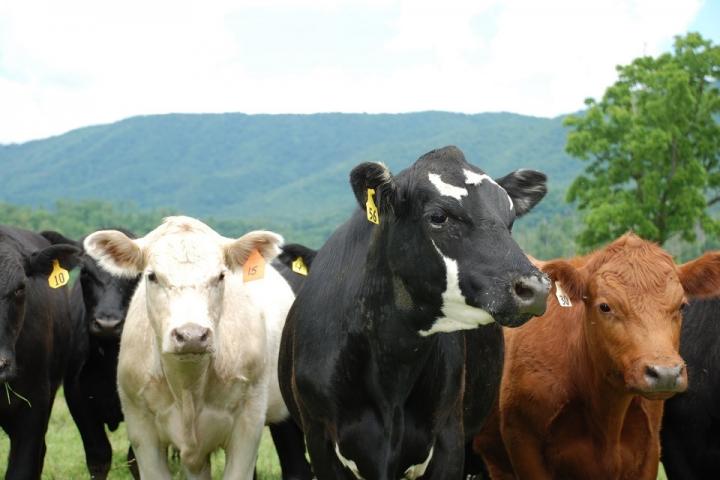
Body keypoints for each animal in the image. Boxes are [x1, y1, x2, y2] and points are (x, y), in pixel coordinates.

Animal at [41, 229, 140, 480]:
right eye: (85, 272)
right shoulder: (78, 398)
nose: (108, 323)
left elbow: (135, 460)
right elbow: (99, 457)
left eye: (137, 274)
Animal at [84, 216, 298, 479]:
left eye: (221, 276)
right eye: (152, 276)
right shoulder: (140, 426)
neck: (188, 387)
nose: (191, 335)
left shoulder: (249, 422)